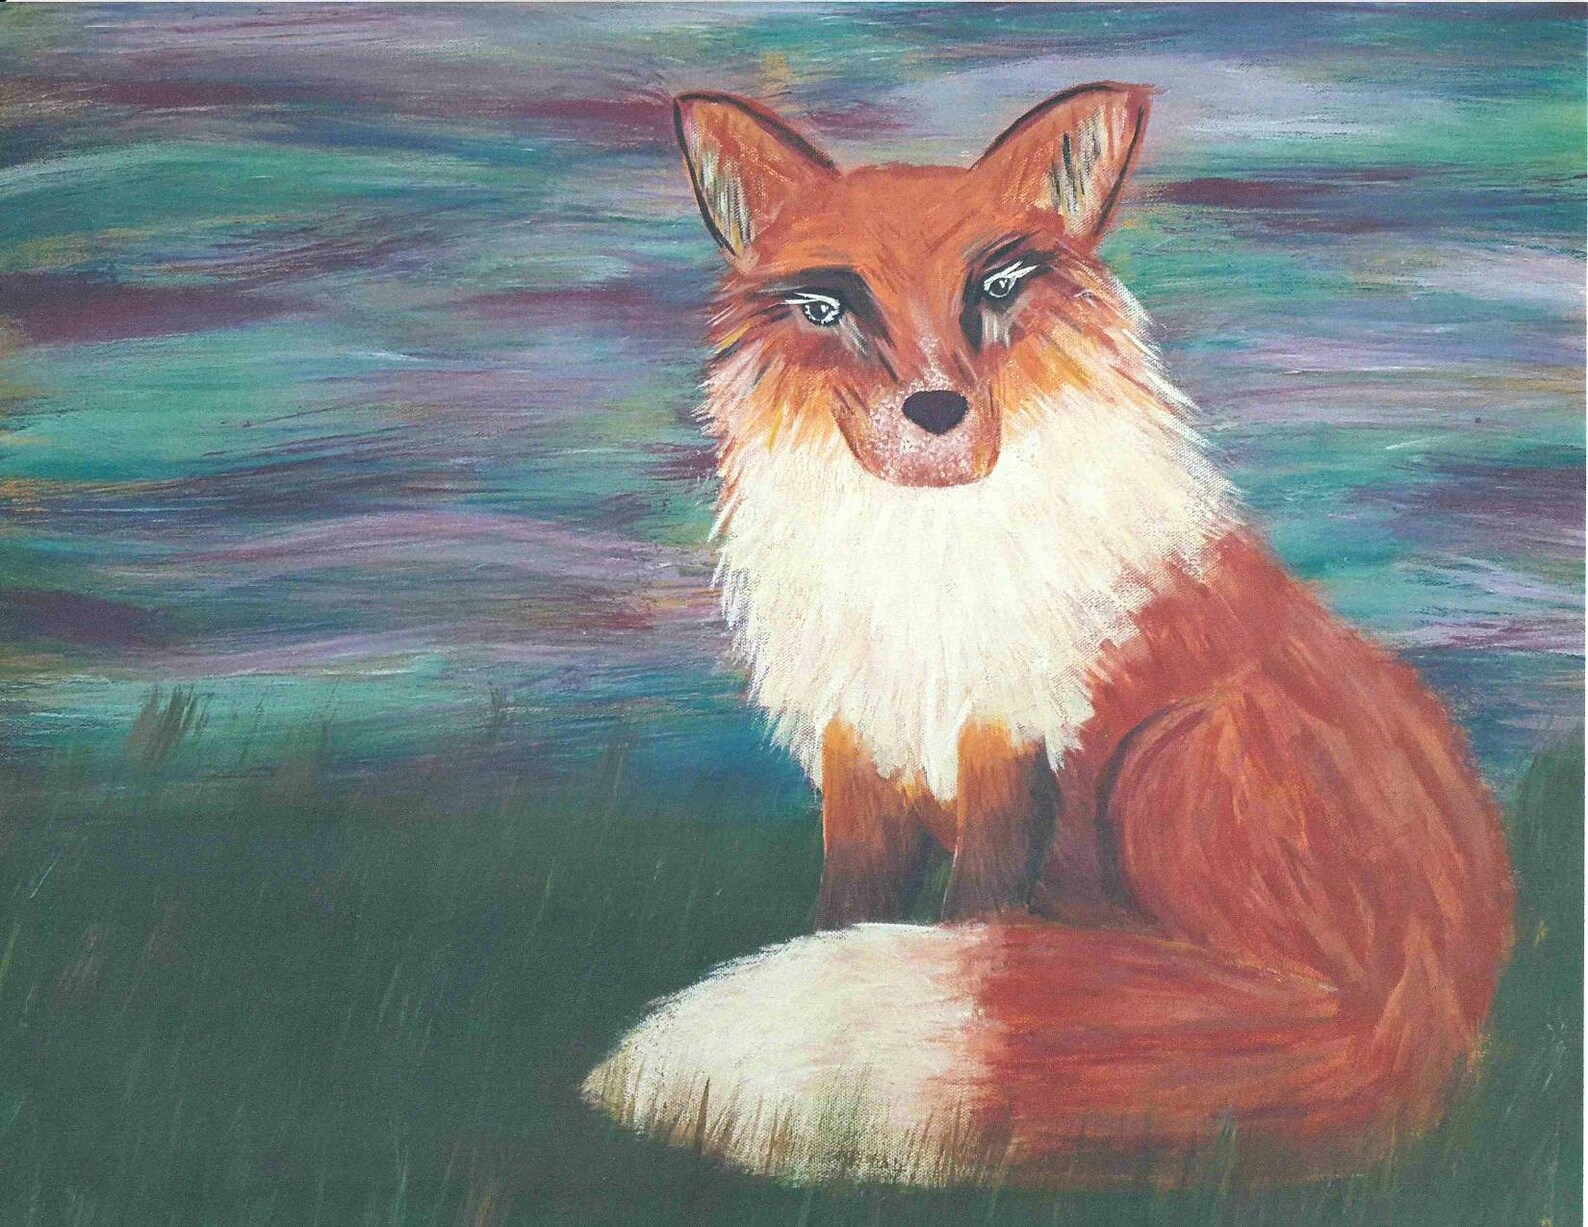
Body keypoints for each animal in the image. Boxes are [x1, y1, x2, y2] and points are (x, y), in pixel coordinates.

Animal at [582, 84, 1516, 1188]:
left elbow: (969, 913)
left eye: (995, 287)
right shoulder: (862, 750)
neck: (921, 569)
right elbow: (848, 913)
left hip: (1176, 753)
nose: (936, 412)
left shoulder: (1012, 744)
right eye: (827, 308)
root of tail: (1431, 1019)